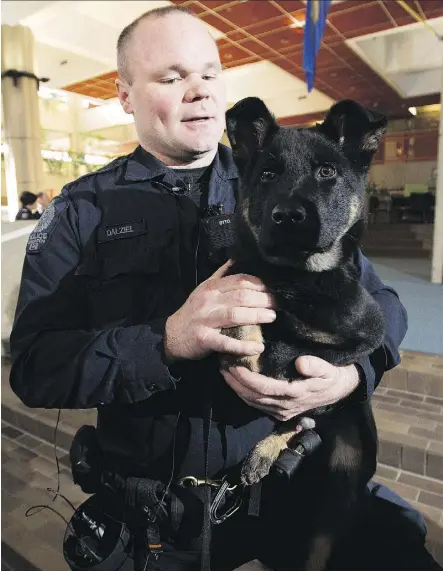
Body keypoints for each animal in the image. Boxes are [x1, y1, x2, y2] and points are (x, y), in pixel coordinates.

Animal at [224, 97, 386, 568]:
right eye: (267, 174)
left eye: (327, 172)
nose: (288, 216)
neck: (297, 277)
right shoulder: (241, 271)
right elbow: (247, 308)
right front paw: (246, 348)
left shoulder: (368, 335)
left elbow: (295, 350)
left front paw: (270, 359)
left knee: (301, 420)